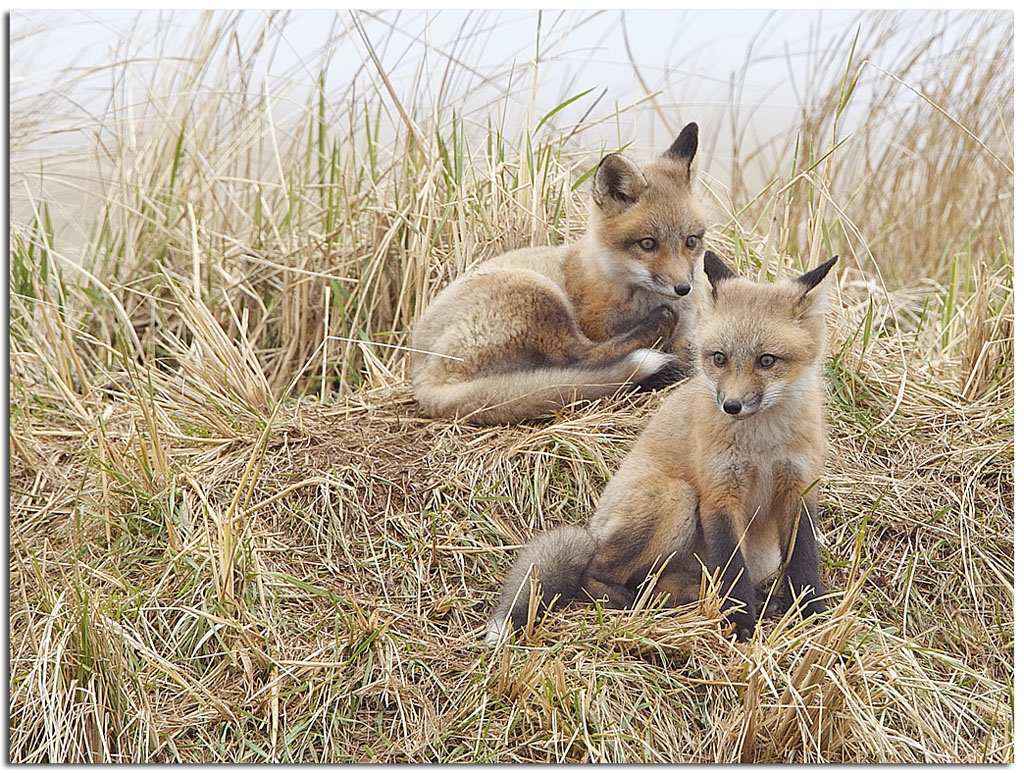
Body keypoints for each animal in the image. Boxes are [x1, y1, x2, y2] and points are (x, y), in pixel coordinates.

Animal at [409, 123, 709, 425]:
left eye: (691, 241)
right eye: (648, 244)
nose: (683, 288)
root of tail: (422, 376)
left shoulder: (685, 335)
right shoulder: (597, 324)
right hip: (540, 296)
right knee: (580, 358)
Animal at [485, 251, 839, 645]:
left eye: (767, 360)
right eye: (719, 358)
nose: (730, 405)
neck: (762, 446)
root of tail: (593, 530)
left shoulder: (799, 487)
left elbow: (804, 561)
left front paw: (811, 617)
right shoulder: (718, 493)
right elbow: (732, 571)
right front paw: (739, 624)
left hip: (751, 555)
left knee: (667, 586)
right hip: (677, 499)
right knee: (595, 573)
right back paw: (623, 600)